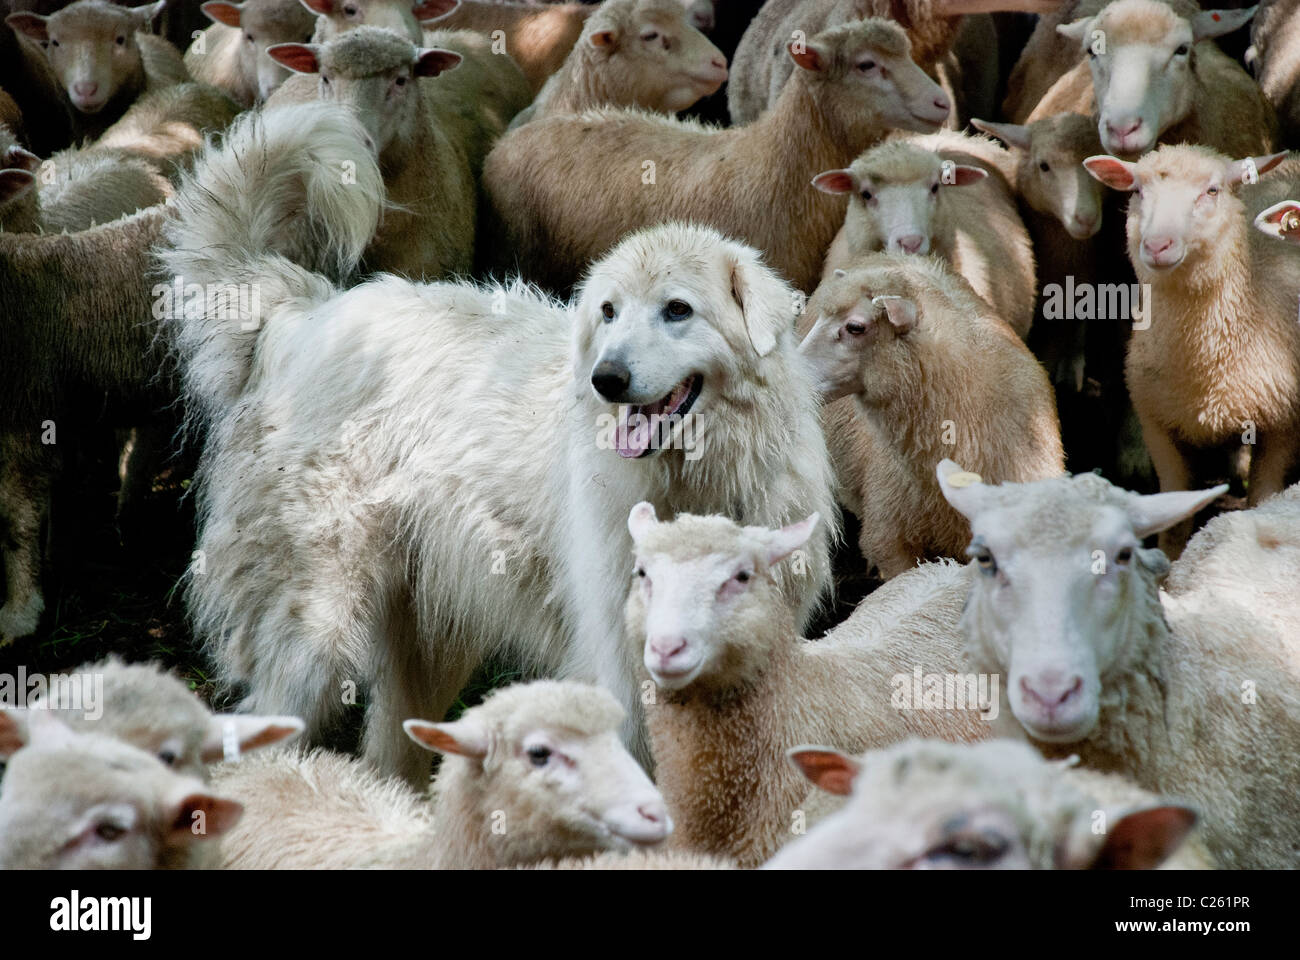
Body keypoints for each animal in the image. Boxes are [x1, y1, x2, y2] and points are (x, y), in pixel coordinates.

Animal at [1084, 146, 1300, 557]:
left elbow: (1262, 501)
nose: (1156, 246)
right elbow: (1174, 523)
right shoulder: (1159, 425)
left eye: (1212, 191)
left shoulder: (1281, 424)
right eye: (1137, 191)